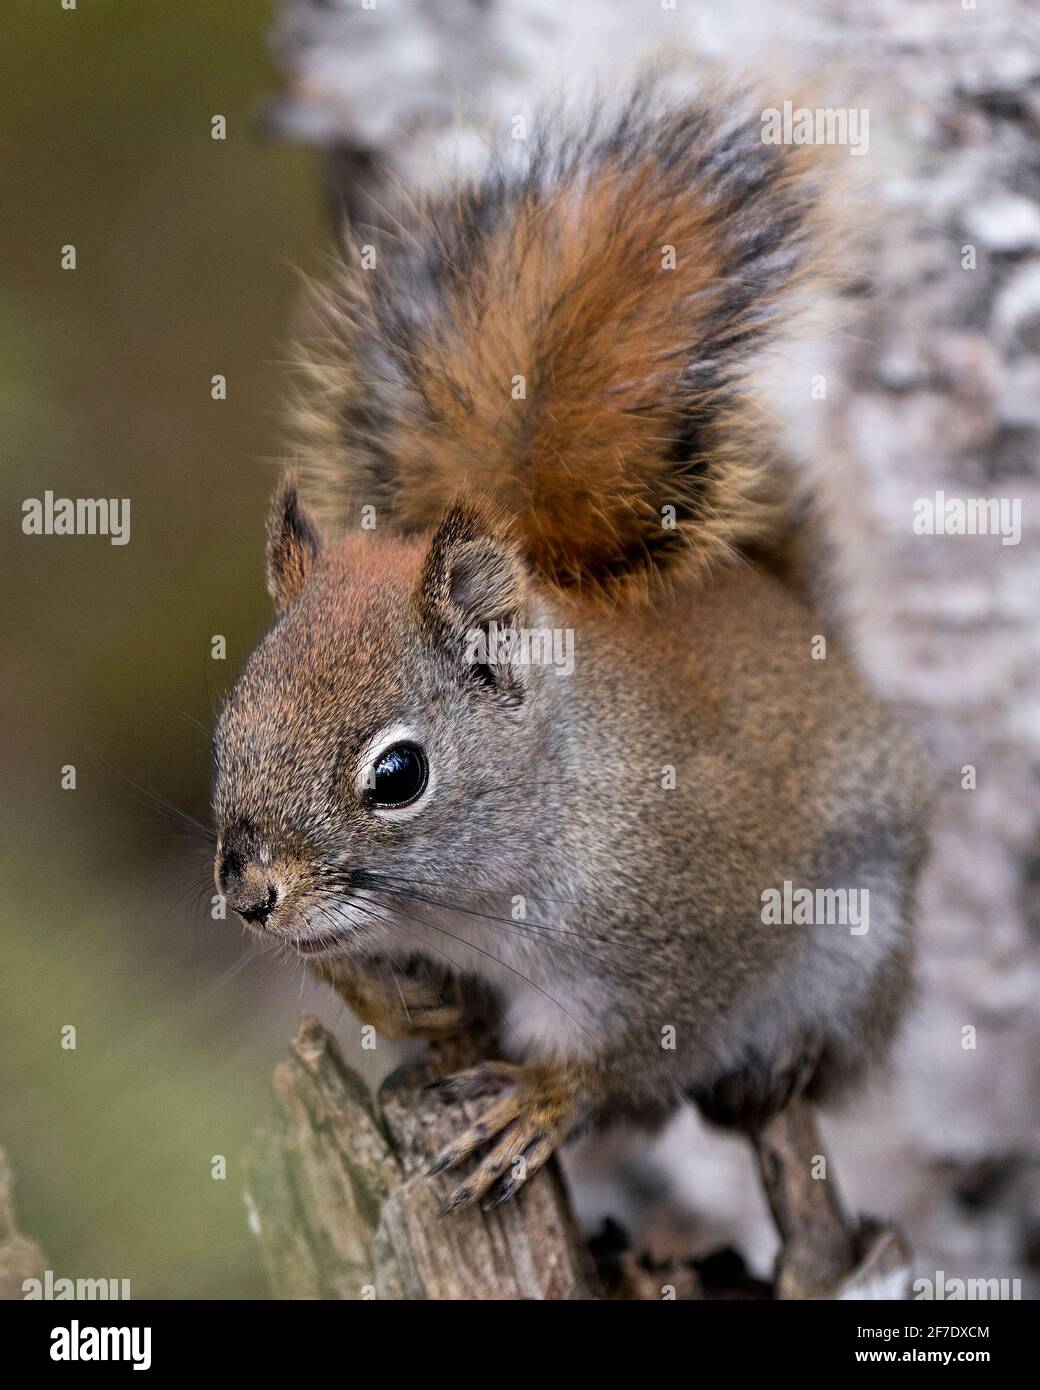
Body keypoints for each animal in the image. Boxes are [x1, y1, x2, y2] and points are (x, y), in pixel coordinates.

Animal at [212, 78, 933, 1216]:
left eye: (399, 774)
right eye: (229, 723)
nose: (247, 897)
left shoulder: (690, 929)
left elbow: (632, 1049)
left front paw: (539, 1103)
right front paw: (391, 1000)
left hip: (866, 935)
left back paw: (783, 1062)